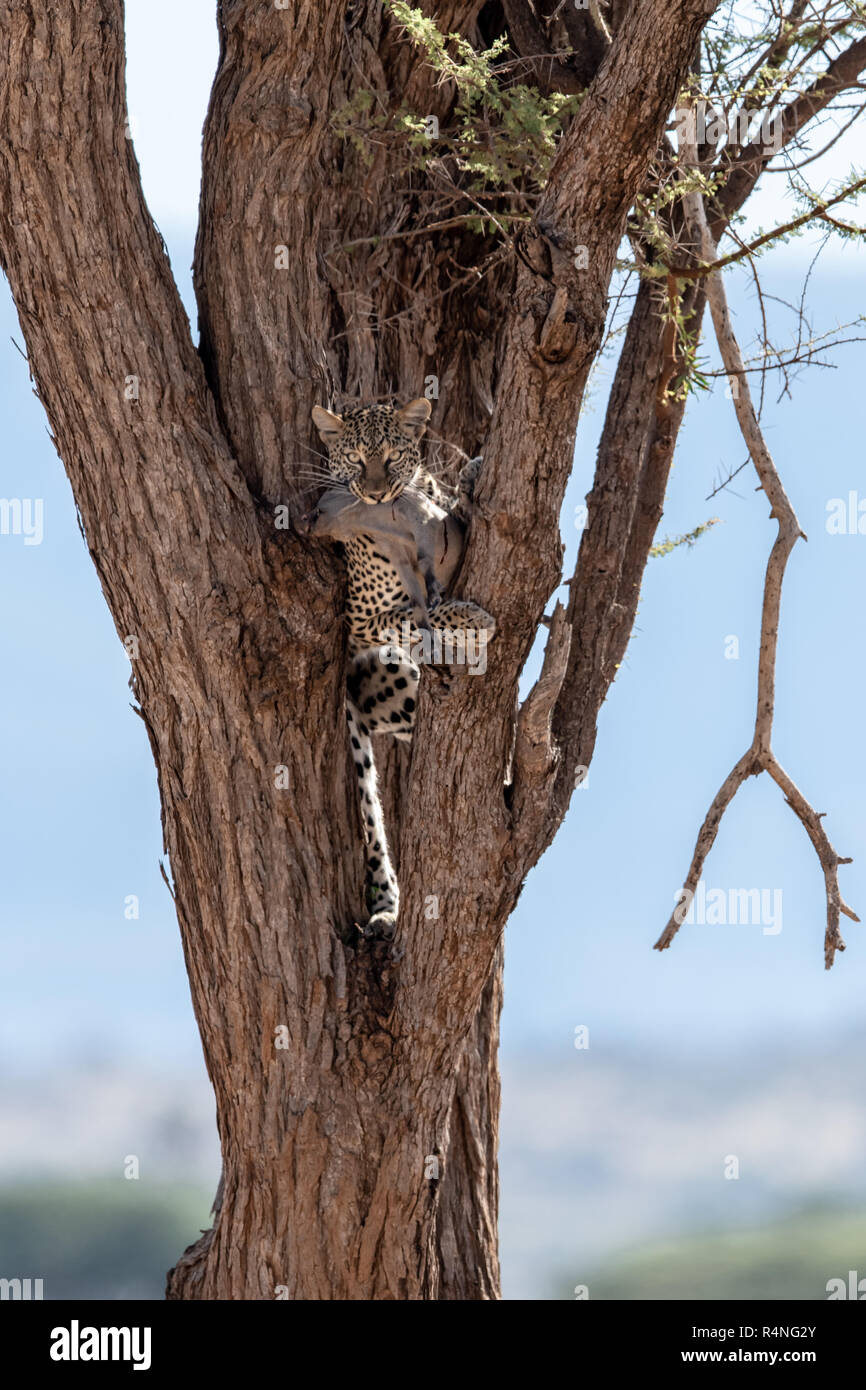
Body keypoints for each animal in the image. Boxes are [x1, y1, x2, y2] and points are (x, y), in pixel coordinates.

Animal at [308, 398, 495, 940]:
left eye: (392, 457)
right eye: (354, 459)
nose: (374, 493)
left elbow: (453, 508)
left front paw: (470, 475)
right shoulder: (363, 618)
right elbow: (416, 614)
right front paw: (468, 620)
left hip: (390, 690)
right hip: (370, 696)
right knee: (371, 816)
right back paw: (386, 907)